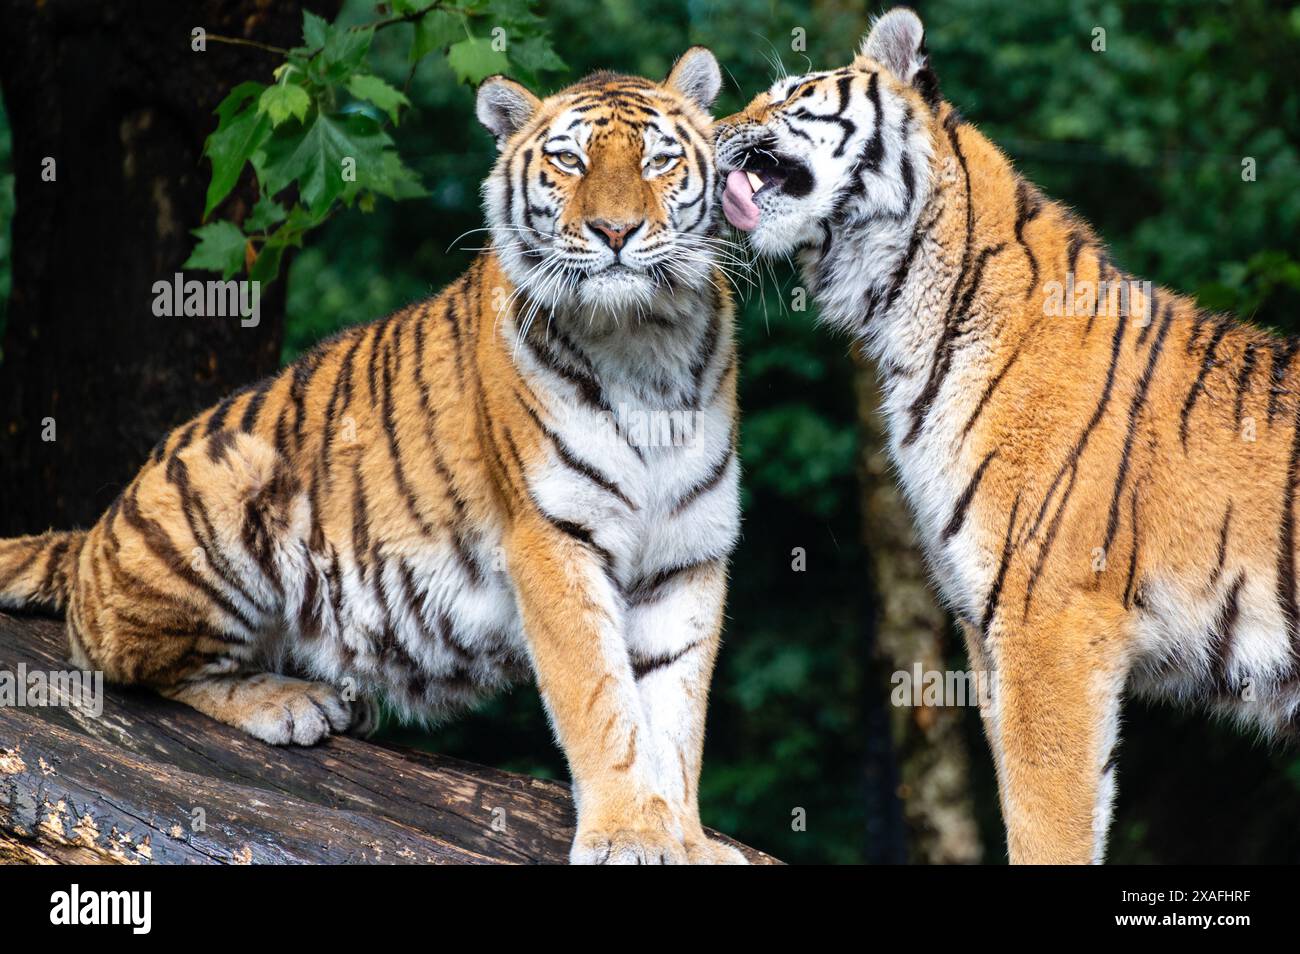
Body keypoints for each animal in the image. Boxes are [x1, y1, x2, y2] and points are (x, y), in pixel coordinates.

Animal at [0, 51, 747, 865]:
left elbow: (675, 720)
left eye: (659, 161)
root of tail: (91, 538)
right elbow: (601, 700)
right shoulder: (553, 539)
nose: (615, 229)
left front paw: (684, 839)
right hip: (224, 480)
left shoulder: (688, 552)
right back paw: (292, 702)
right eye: (569, 160)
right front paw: (628, 835)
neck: (645, 343)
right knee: (129, 665)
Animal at [718, 6, 1300, 864]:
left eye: (790, 94)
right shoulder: (984, 630)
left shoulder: (1047, 624)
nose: (712, 129)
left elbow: (1045, 817)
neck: (898, 316)